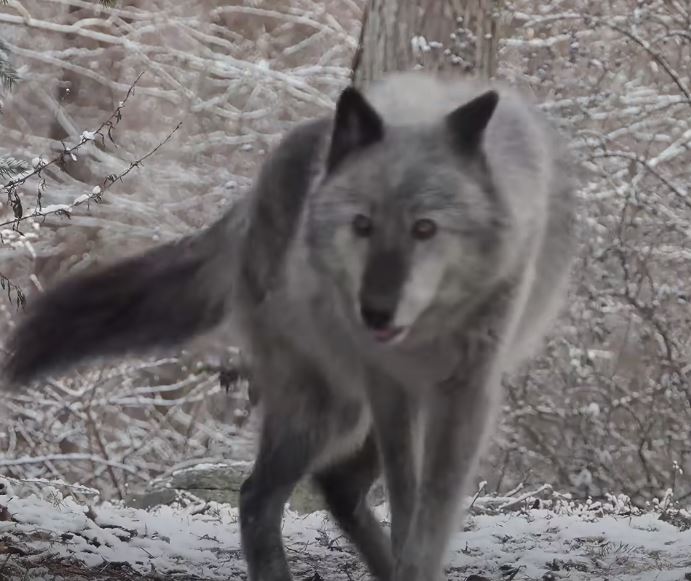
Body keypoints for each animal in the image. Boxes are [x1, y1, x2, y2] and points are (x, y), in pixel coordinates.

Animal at [3, 72, 575, 581]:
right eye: (361, 225)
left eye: (425, 228)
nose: (375, 312)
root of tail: (257, 193)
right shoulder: (389, 387)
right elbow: (408, 506)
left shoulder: (464, 395)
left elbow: (429, 518)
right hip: (332, 409)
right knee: (257, 496)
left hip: (348, 415)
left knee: (336, 487)